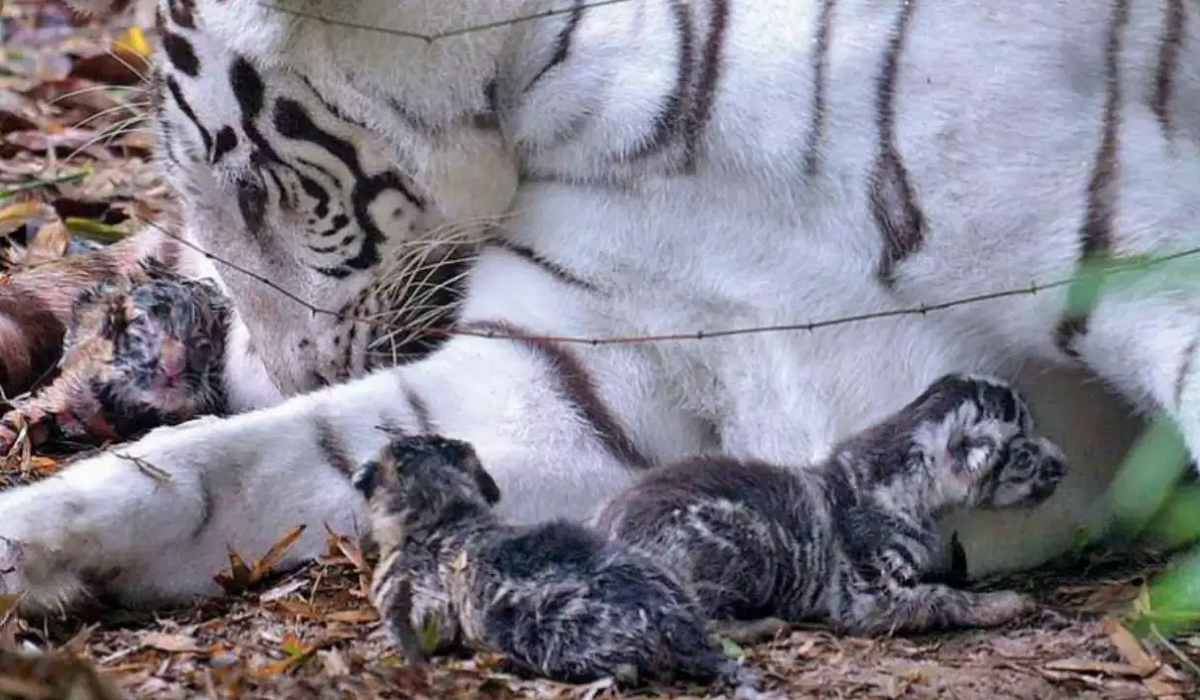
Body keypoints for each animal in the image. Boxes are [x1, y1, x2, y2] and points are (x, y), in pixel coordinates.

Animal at [0, 0, 1186, 613]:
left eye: (251, 185)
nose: (288, 367)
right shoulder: (580, 377)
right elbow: (241, 462)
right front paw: (34, 543)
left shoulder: (1154, 260)